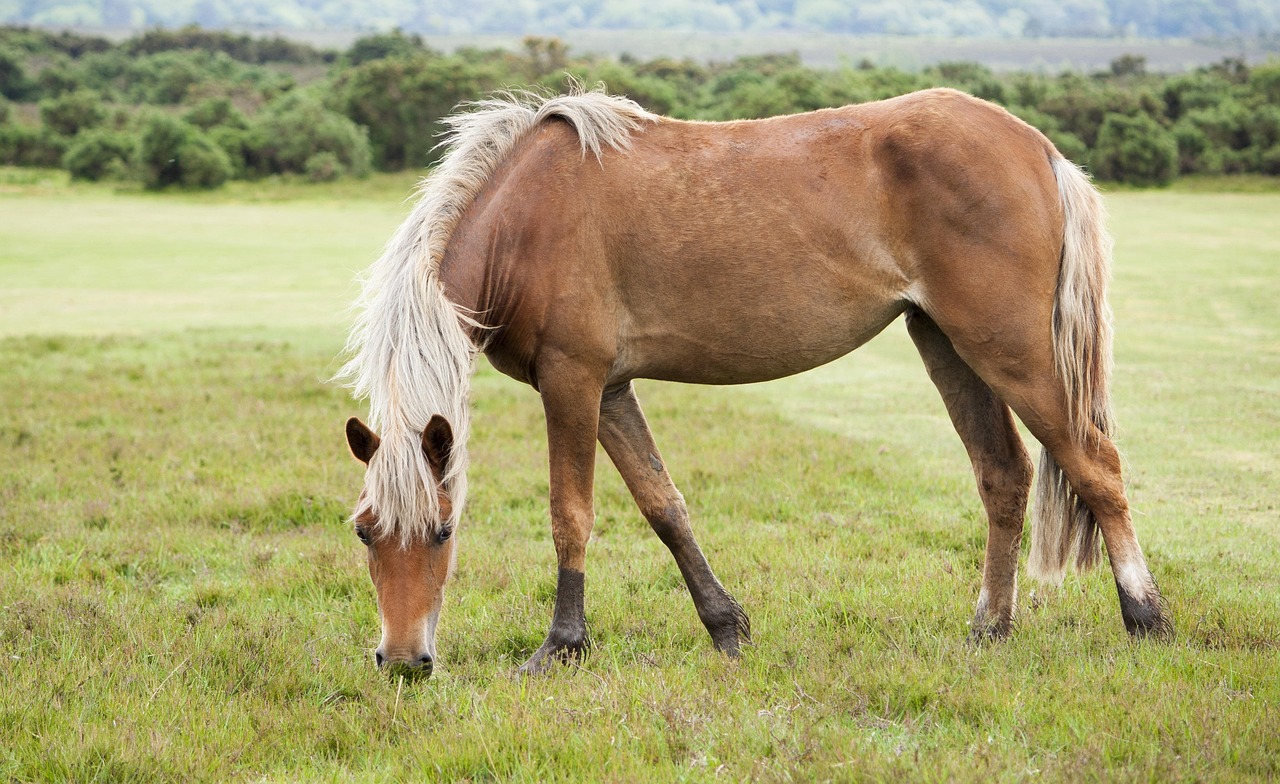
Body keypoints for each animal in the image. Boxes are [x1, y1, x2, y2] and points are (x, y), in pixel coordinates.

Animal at [336, 85, 1172, 678]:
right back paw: (989, 629)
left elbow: (570, 515)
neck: (524, 218)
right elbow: (664, 506)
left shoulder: (572, 381)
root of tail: (1037, 147)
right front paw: (726, 626)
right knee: (1004, 476)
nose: (403, 662)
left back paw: (1146, 618)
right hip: (948, 346)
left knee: (1096, 466)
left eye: (443, 531)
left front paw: (562, 646)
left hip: (1013, 354)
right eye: (365, 531)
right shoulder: (612, 391)